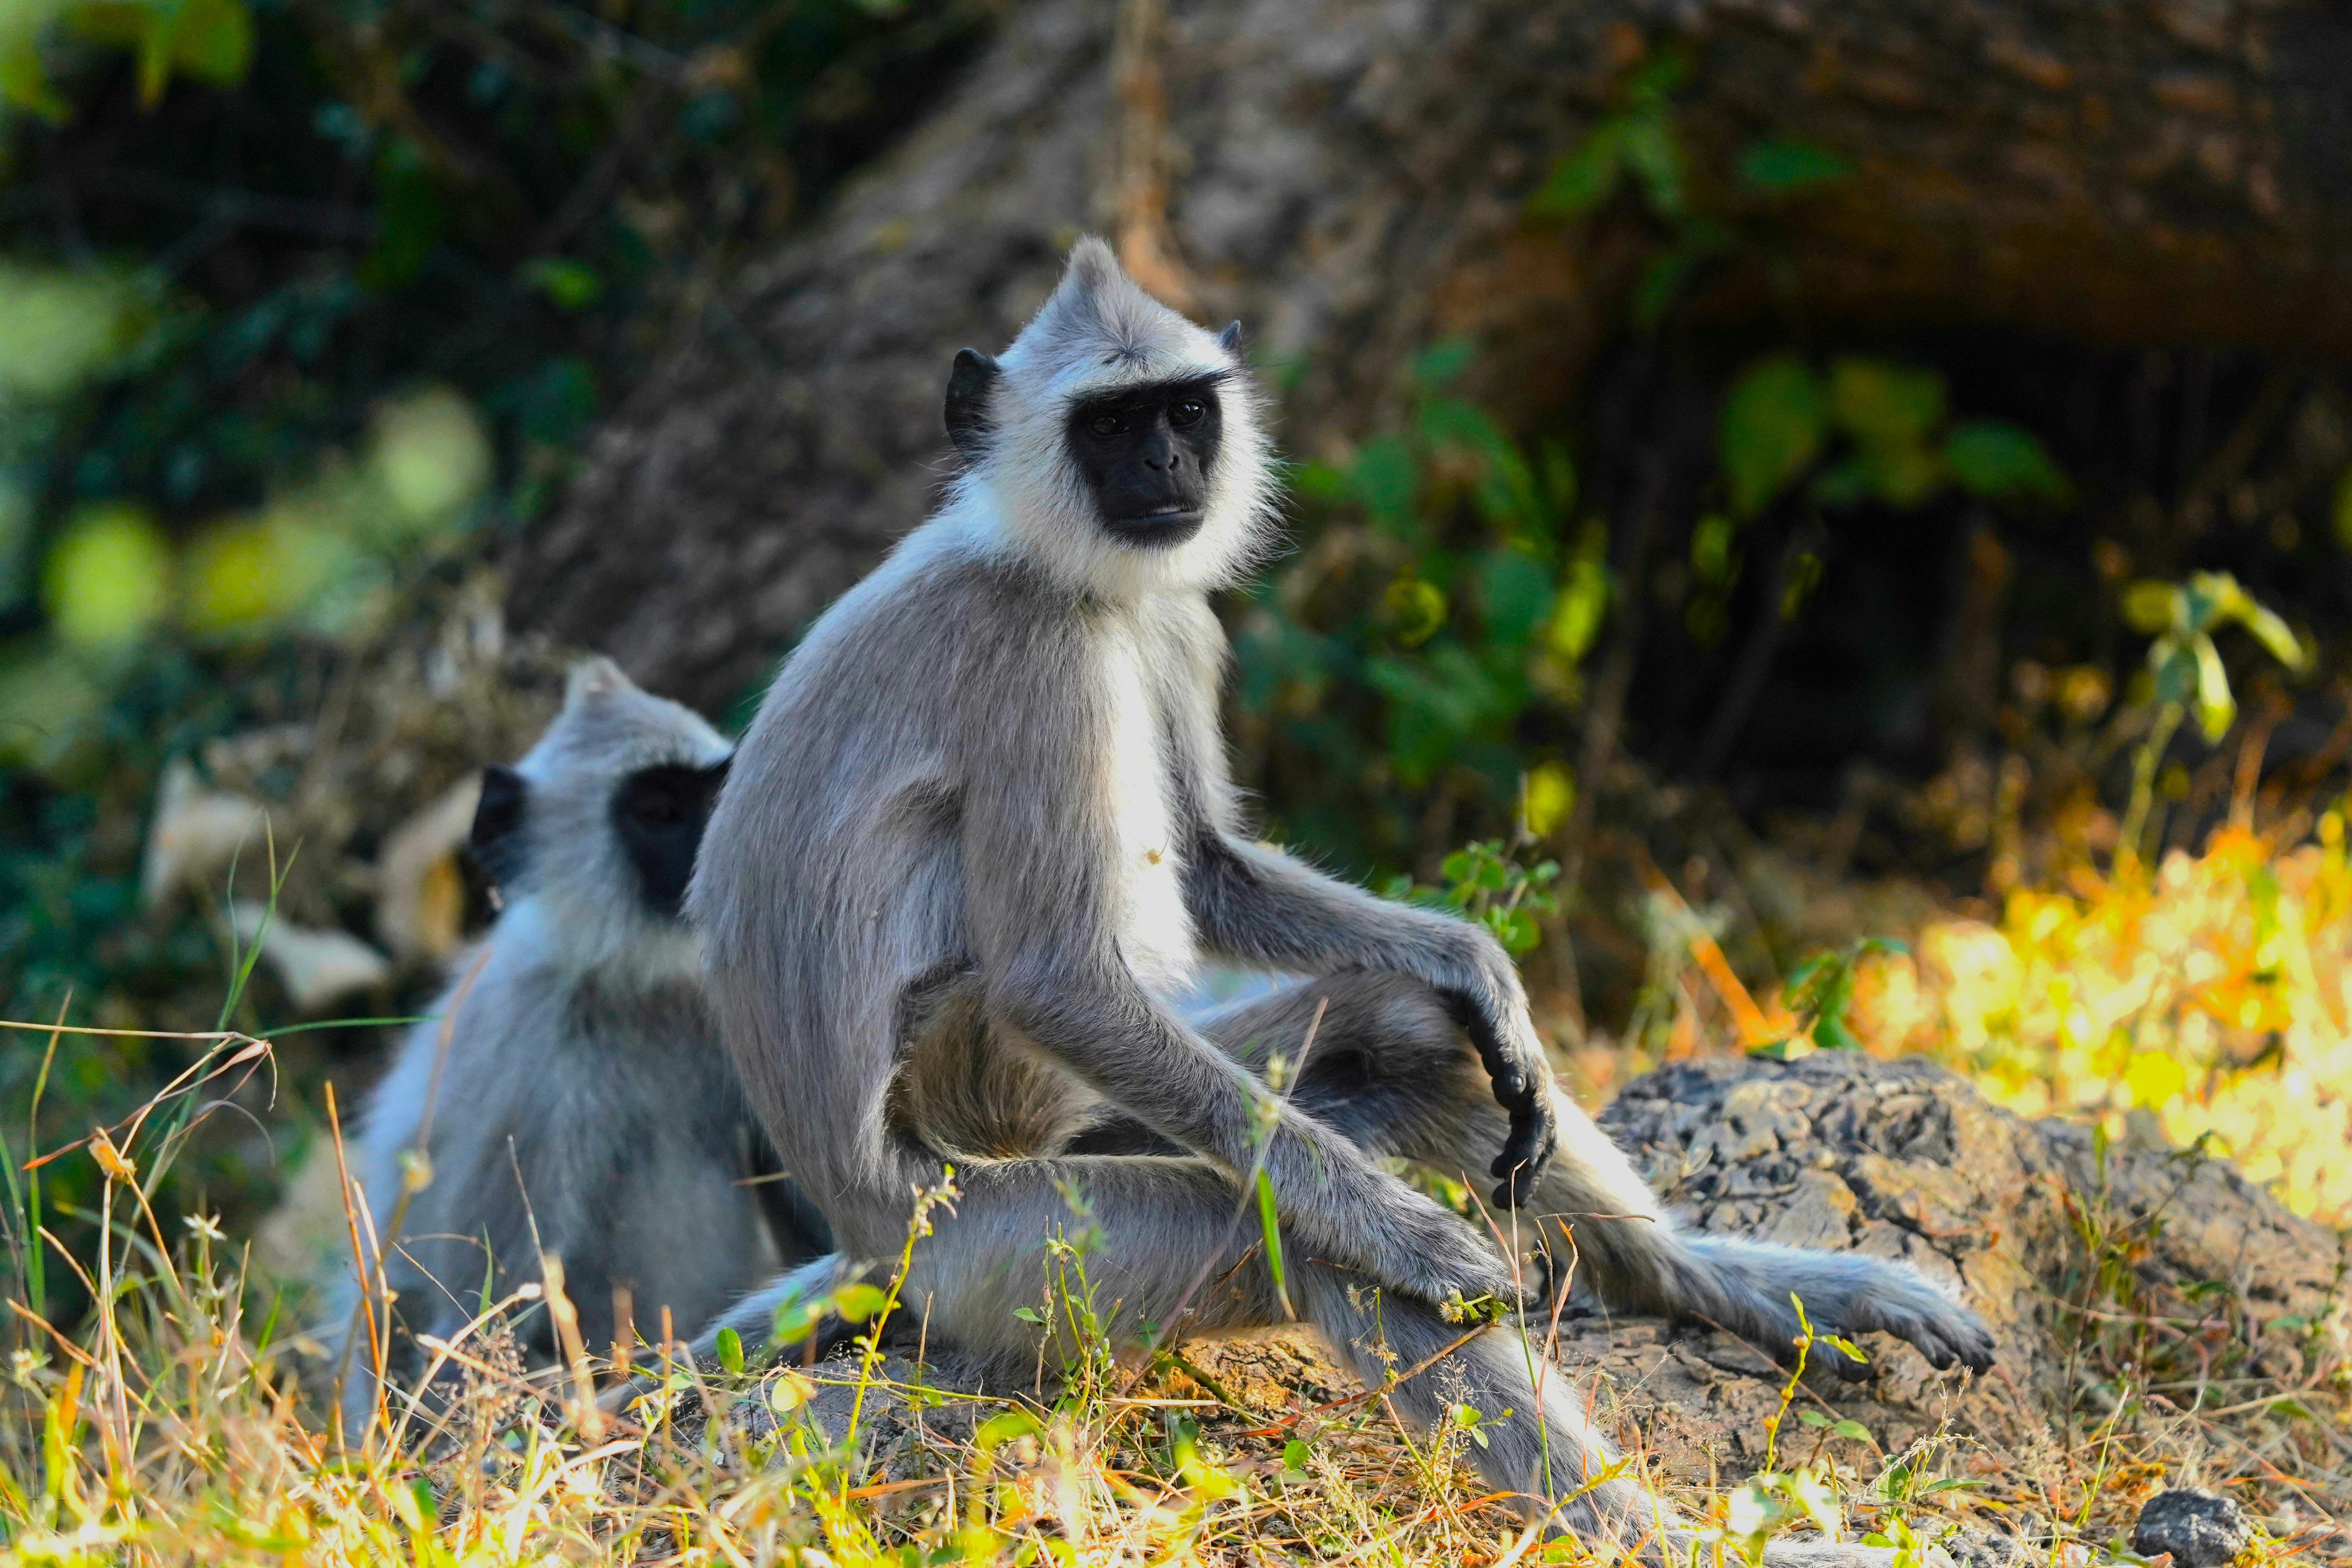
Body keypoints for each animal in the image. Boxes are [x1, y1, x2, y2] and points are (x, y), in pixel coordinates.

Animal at [321, 657, 833, 1432]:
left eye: (716, 795)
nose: (727, 845)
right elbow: (471, 1334)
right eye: (659, 813)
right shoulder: (531, 1064)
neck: (634, 989)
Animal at [685, 240, 1994, 1558]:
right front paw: (1422, 1237)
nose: (1163, 469)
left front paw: (1480, 971)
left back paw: (1718, 1283)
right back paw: (1646, 1517)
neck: (1057, 569)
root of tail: (871, 1237)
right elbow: (1059, 983)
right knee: (1318, 1252)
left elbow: (1215, 873)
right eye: (1107, 424)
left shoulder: (1174, 617)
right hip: (1014, 1248)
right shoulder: (1036, 659)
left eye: (1184, 413)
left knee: (1402, 1034)